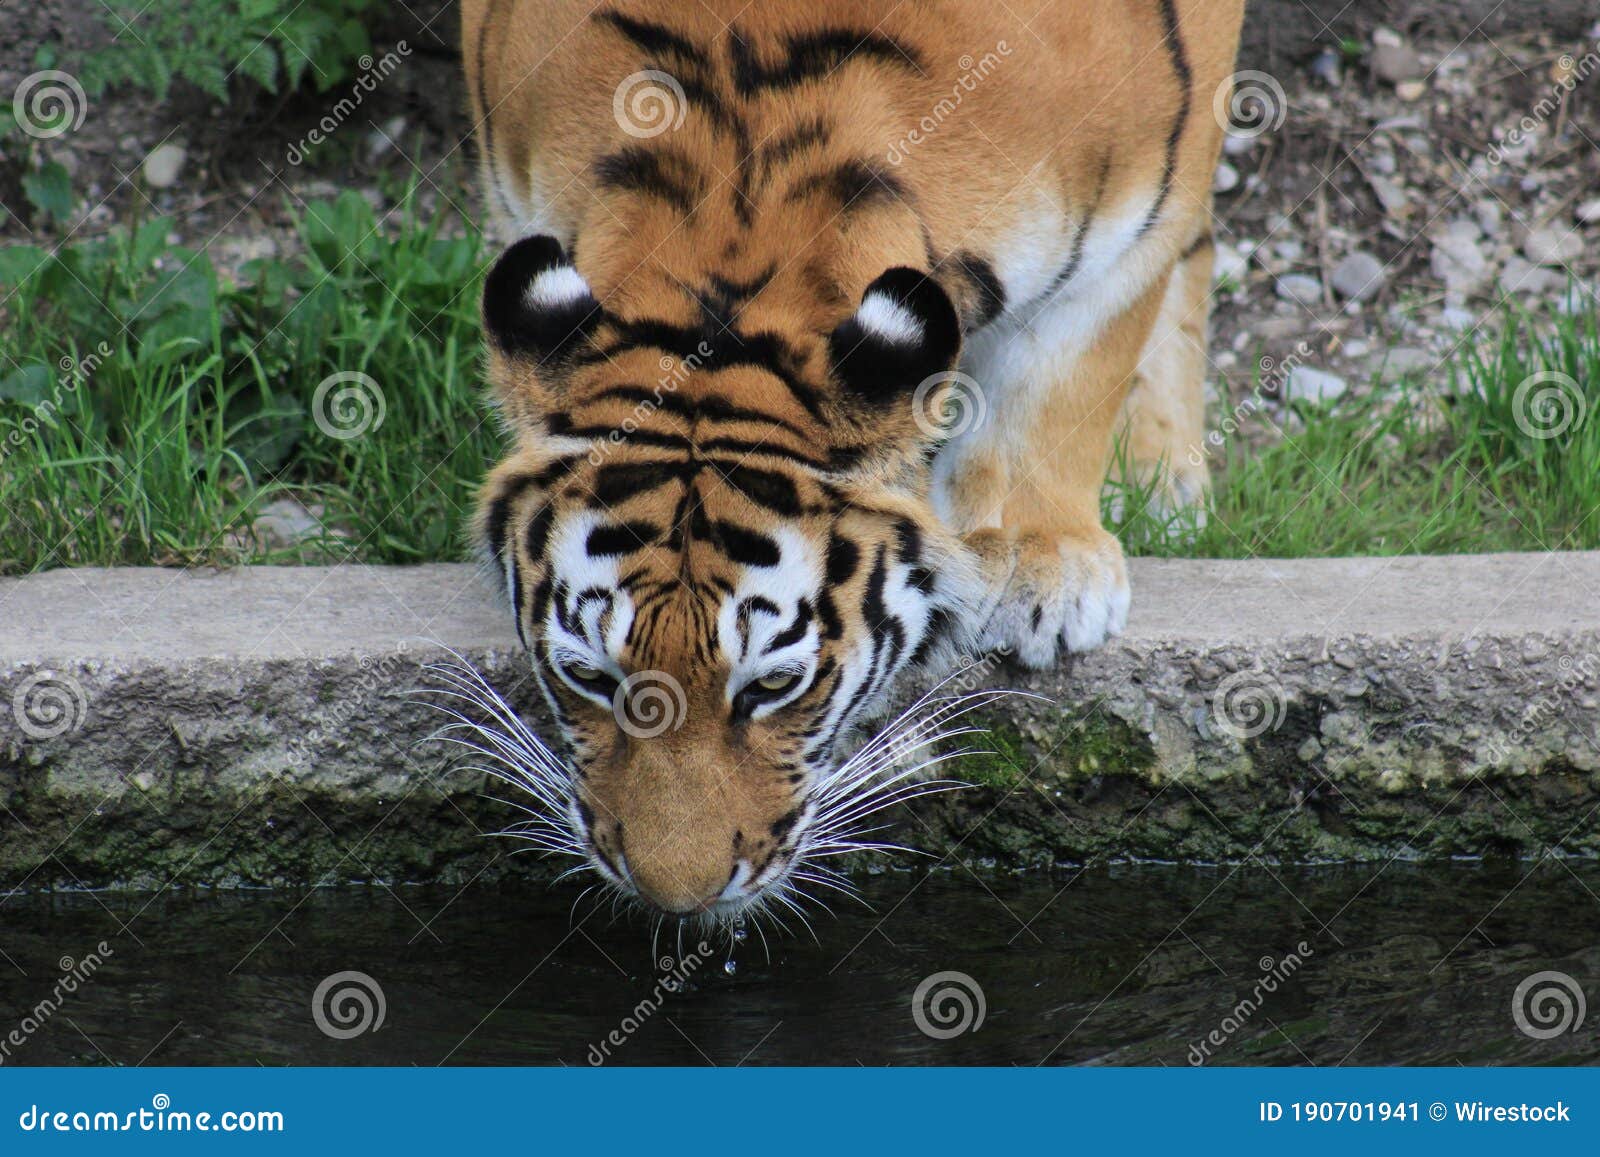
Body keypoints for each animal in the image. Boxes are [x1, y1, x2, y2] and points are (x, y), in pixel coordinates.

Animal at [460, 0, 1244, 920]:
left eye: (773, 685)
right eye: (588, 675)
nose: (679, 896)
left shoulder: (1140, 214)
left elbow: (1062, 383)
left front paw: (1041, 569)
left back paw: (1163, 482)